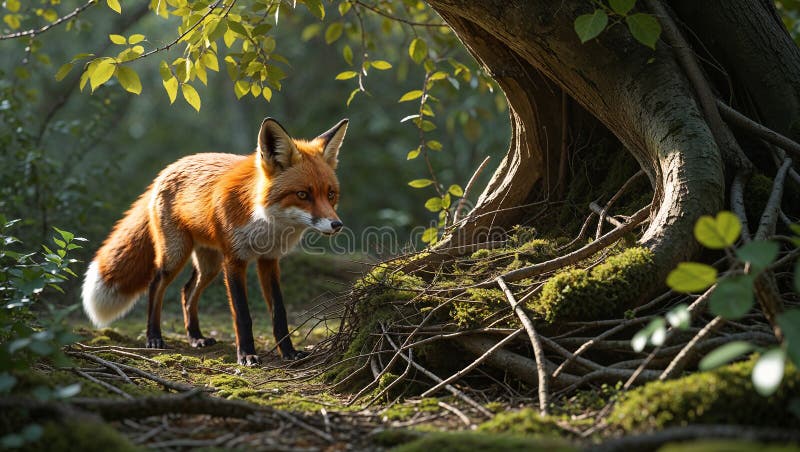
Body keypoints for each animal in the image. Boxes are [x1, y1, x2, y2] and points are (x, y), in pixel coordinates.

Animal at [82, 117, 348, 365]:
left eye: (330, 194)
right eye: (302, 194)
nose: (337, 225)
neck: (264, 221)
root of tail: (167, 169)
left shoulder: (269, 260)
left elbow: (279, 313)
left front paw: (289, 352)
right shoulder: (234, 260)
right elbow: (242, 314)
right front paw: (247, 355)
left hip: (210, 265)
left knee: (187, 291)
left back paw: (195, 337)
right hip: (176, 255)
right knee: (156, 285)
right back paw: (154, 336)